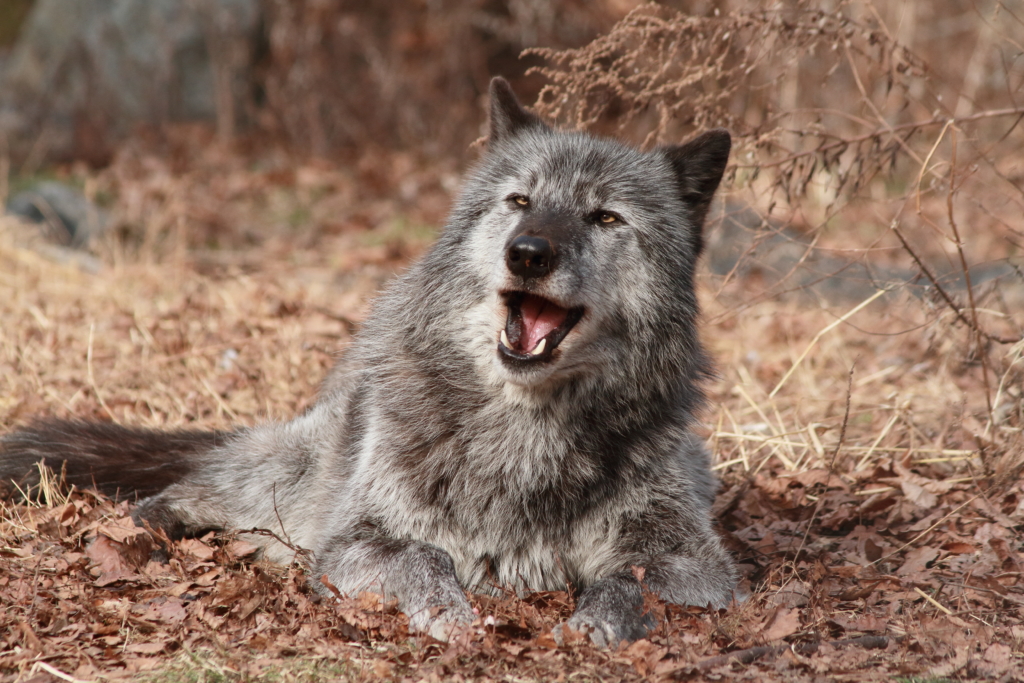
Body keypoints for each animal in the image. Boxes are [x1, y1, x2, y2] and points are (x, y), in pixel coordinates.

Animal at [1, 78, 736, 646]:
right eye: (520, 201)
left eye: (606, 217)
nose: (528, 253)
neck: (521, 432)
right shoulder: (359, 537)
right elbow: (421, 558)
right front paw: (452, 619)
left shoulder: (696, 564)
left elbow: (630, 583)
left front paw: (590, 628)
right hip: (285, 472)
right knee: (191, 488)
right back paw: (141, 534)